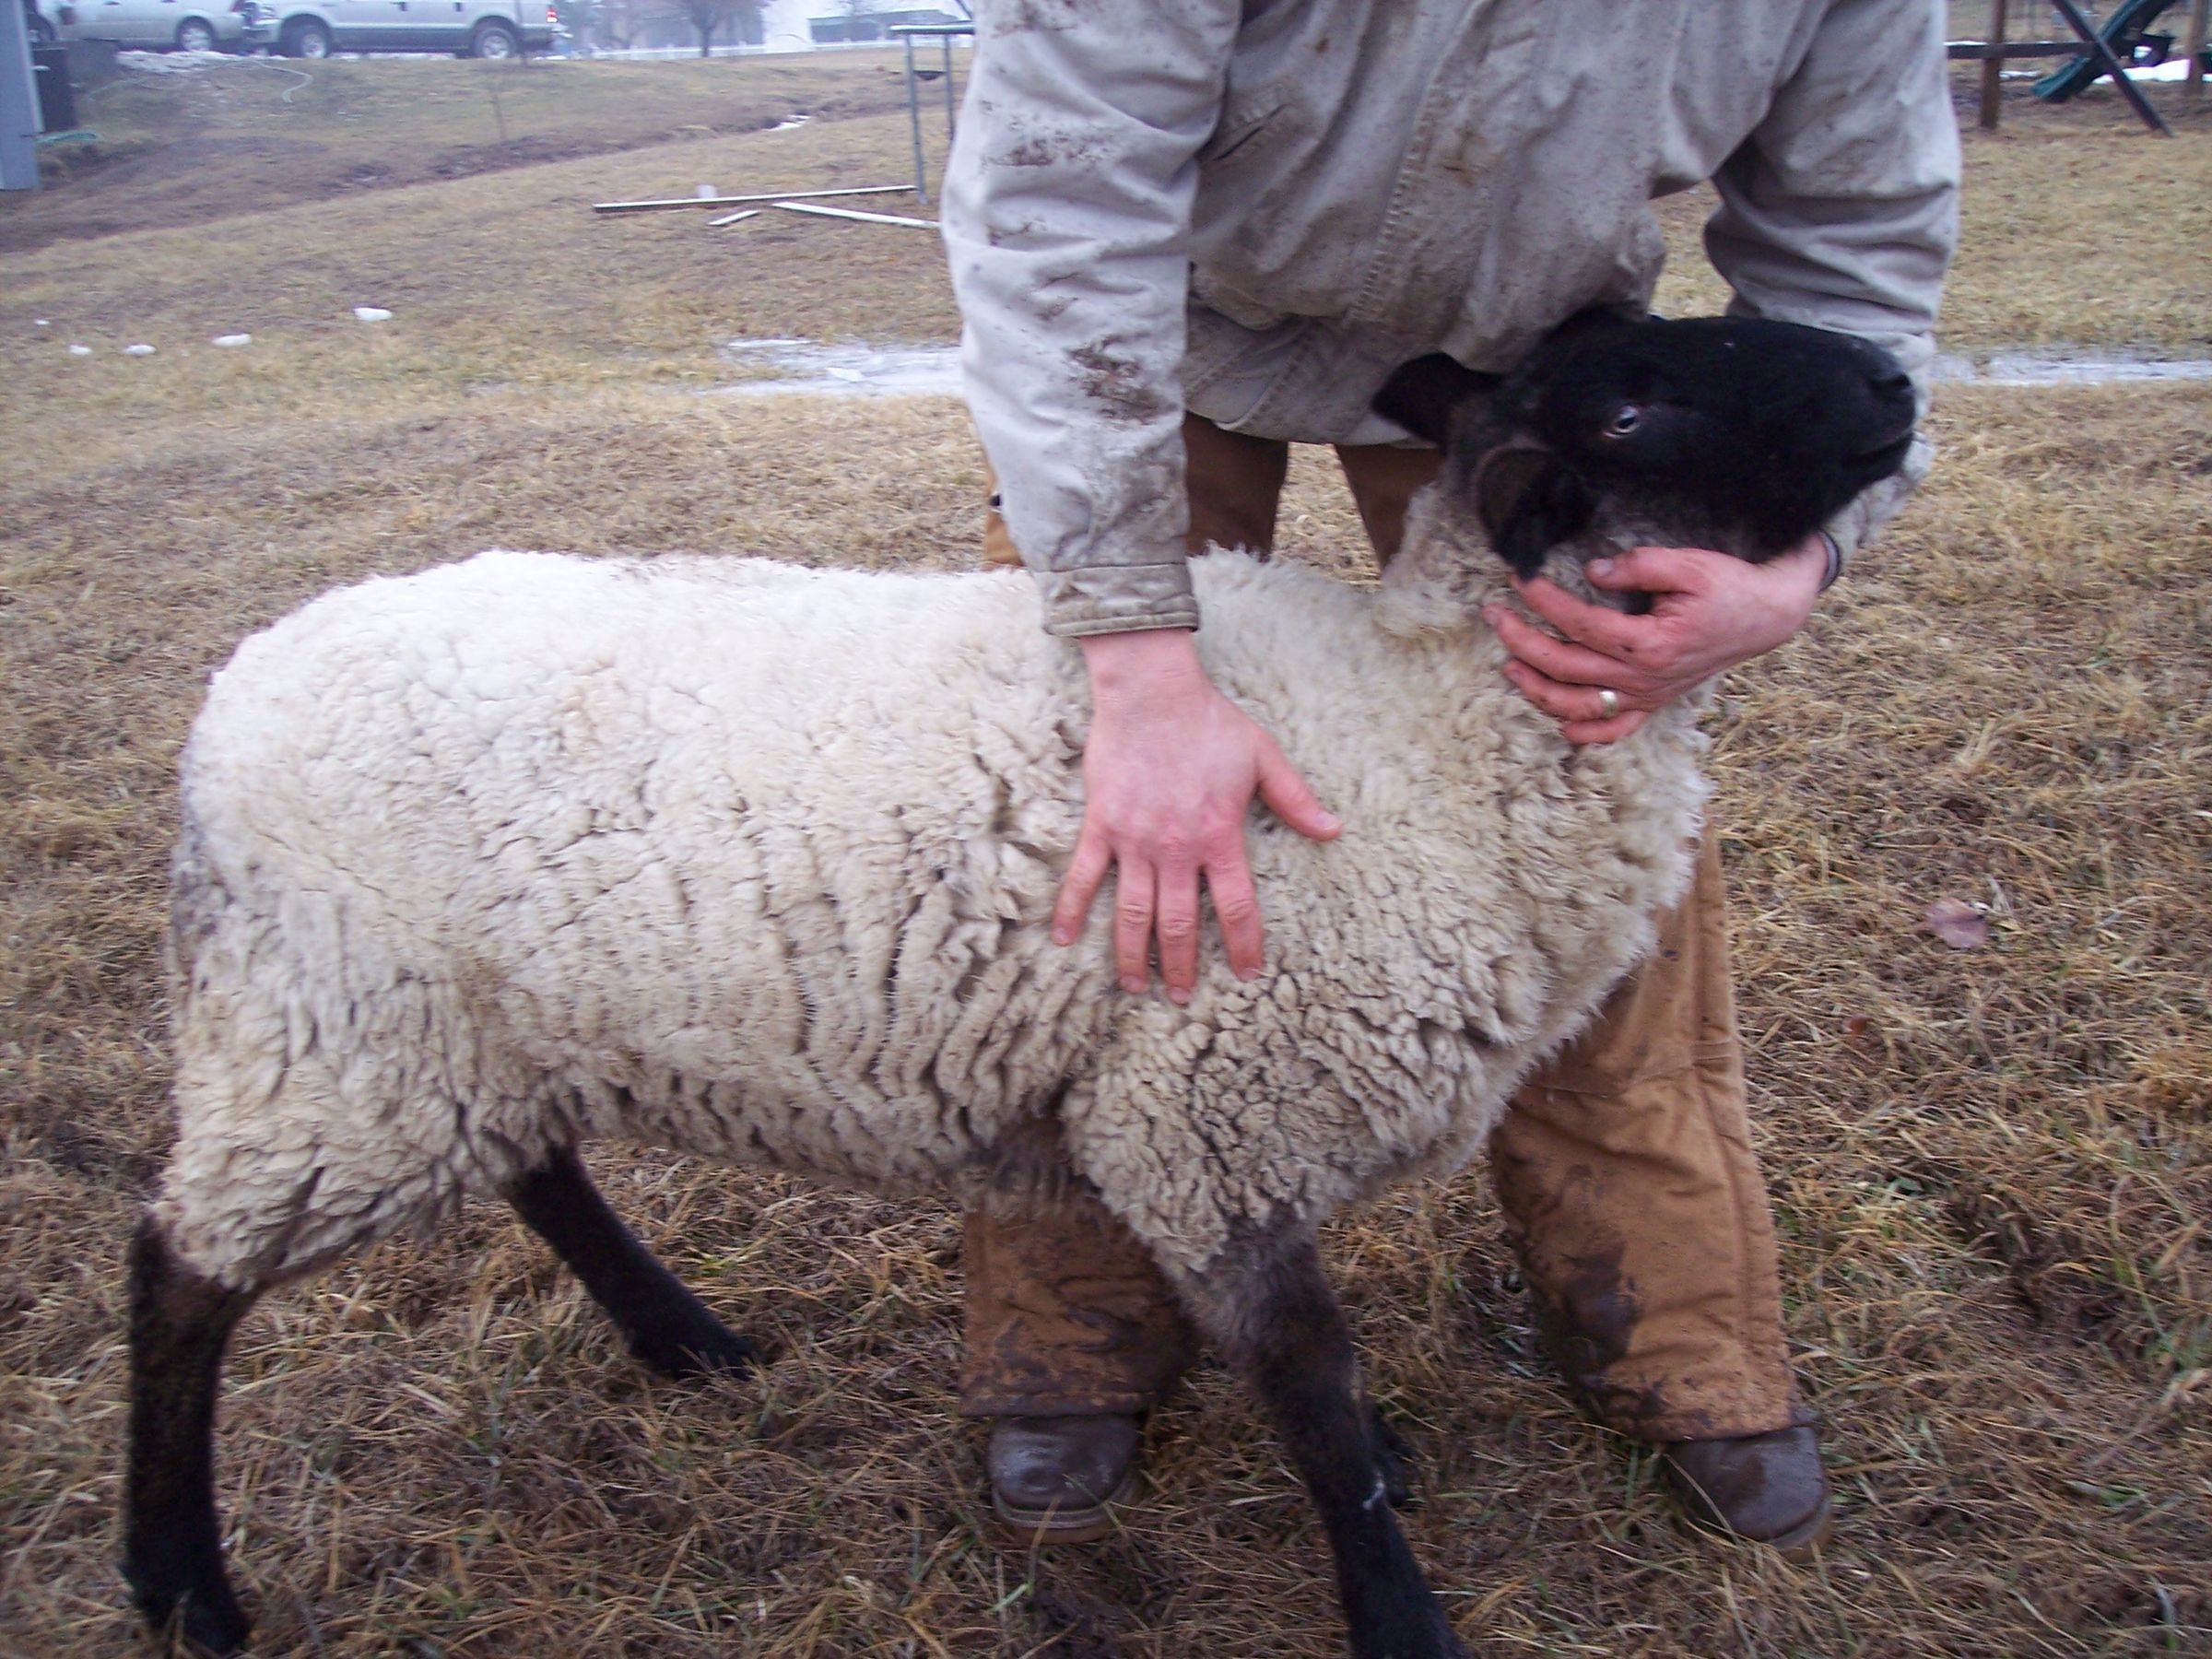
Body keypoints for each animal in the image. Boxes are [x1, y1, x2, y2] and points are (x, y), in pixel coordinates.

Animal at [123, 310, 1917, 1659]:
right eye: (1629, 406)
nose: (1897, 386)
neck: (1419, 731)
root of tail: (227, 702)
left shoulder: (1224, 1130)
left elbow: (1317, 1390)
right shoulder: (1211, 1116)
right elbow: (1318, 1406)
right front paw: (1400, 1614)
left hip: (458, 1032)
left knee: (539, 1170)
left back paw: (685, 1341)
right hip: (333, 1037)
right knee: (180, 1270)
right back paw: (181, 1587)